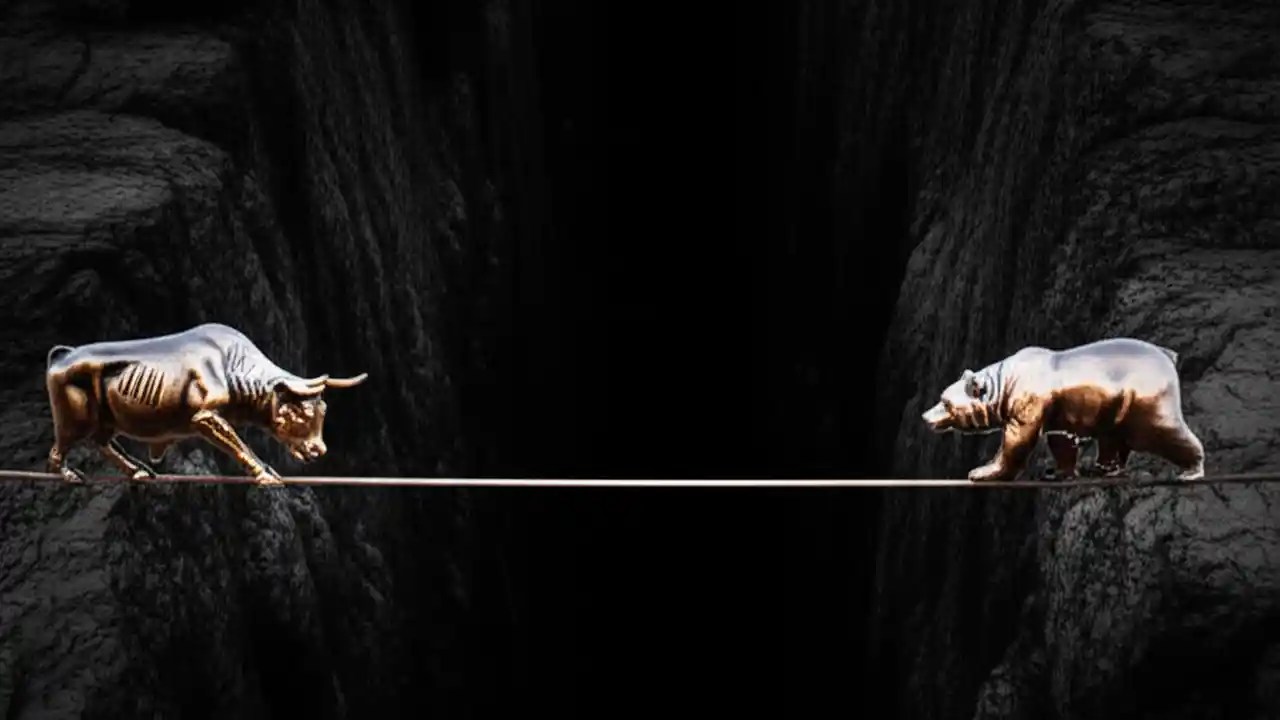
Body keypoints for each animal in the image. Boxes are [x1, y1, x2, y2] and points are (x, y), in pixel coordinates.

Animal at [44, 322, 368, 485]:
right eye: (300, 413)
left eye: (323, 411)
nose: (318, 449)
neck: (235, 368)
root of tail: (63, 355)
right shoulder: (204, 417)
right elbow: (239, 446)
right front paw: (265, 474)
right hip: (74, 419)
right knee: (58, 449)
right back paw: (70, 474)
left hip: (105, 421)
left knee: (103, 443)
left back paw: (138, 471)